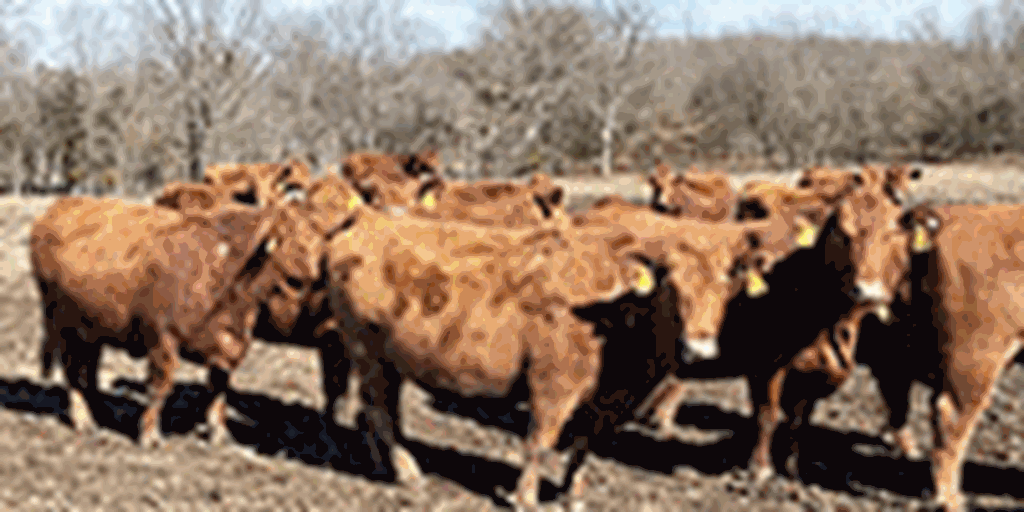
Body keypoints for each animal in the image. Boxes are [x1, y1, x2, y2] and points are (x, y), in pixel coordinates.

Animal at [31, 197, 316, 448]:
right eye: (290, 236)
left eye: (315, 236)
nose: (313, 273)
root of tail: (58, 207)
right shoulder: (163, 340)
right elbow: (160, 388)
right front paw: (149, 435)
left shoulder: (227, 346)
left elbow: (219, 390)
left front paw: (219, 432)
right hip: (62, 325)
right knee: (72, 371)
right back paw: (83, 420)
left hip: (91, 329)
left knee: (89, 368)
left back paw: (99, 411)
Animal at [319, 196, 782, 509]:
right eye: (672, 290)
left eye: (725, 291)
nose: (698, 348)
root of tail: (369, 217)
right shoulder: (552, 384)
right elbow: (540, 443)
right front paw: (525, 497)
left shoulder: (606, 401)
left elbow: (584, 446)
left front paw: (572, 495)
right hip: (366, 351)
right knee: (380, 410)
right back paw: (407, 472)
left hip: (386, 360)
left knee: (376, 411)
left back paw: (381, 464)